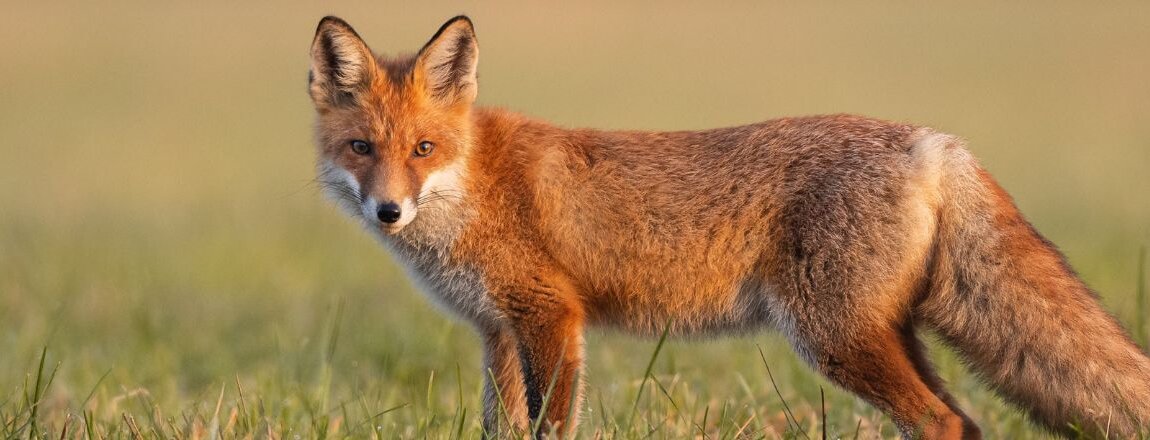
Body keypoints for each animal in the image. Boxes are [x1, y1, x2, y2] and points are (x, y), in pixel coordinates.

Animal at [306, 15, 1150, 439]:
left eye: (422, 149)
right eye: (362, 149)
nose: (388, 210)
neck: (476, 183)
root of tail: (933, 141)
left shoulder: (550, 316)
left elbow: (549, 427)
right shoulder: (497, 332)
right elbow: (502, 427)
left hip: (832, 338)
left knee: (944, 423)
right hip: (881, 335)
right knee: (964, 423)